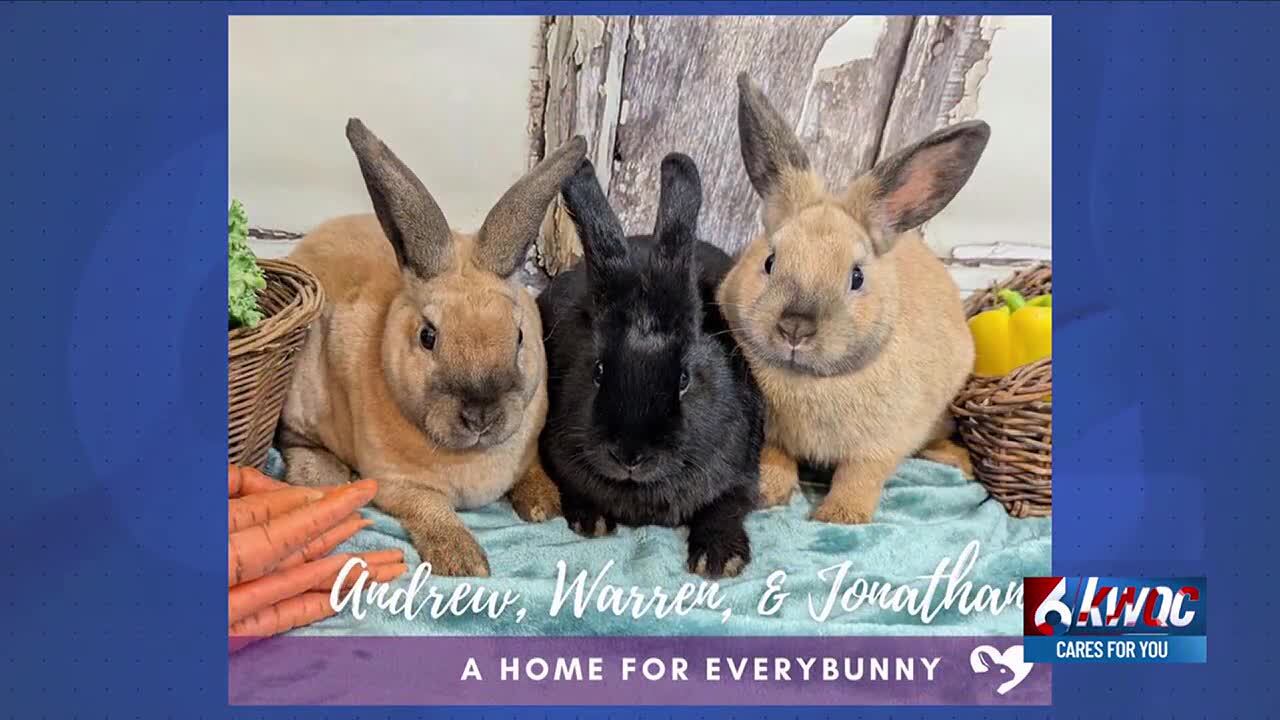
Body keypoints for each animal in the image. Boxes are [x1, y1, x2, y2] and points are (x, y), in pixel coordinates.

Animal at [277, 118, 587, 576]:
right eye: (428, 336)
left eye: (518, 336)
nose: (480, 415)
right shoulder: (396, 482)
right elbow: (432, 509)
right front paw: (463, 561)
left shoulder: (529, 447)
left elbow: (530, 469)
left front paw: (544, 505)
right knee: (294, 440)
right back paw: (324, 477)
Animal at [529, 153, 765, 579]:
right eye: (598, 371)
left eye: (684, 379)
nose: (630, 456)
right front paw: (593, 521)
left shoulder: (741, 475)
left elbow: (725, 507)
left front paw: (719, 559)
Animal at [717, 73, 989, 525]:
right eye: (770, 261)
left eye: (856, 277)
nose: (795, 327)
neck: (811, 380)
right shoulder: (771, 434)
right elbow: (776, 458)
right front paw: (768, 495)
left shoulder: (882, 444)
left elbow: (860, 476)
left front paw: (840, 517)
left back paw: (957, 461)